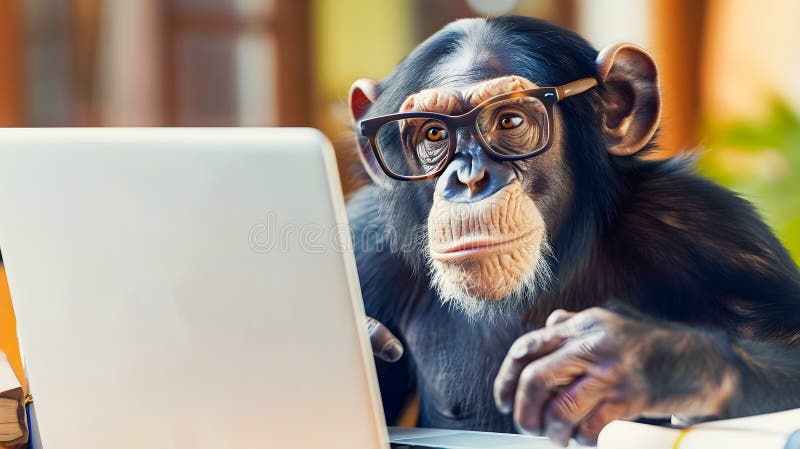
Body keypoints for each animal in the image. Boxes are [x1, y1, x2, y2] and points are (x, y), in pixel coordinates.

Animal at [345, 16, 800, 446]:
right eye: (435, 133)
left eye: (510, 120)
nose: (469, 179)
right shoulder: (365, 242)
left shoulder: (717, 232)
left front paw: (633, 355)